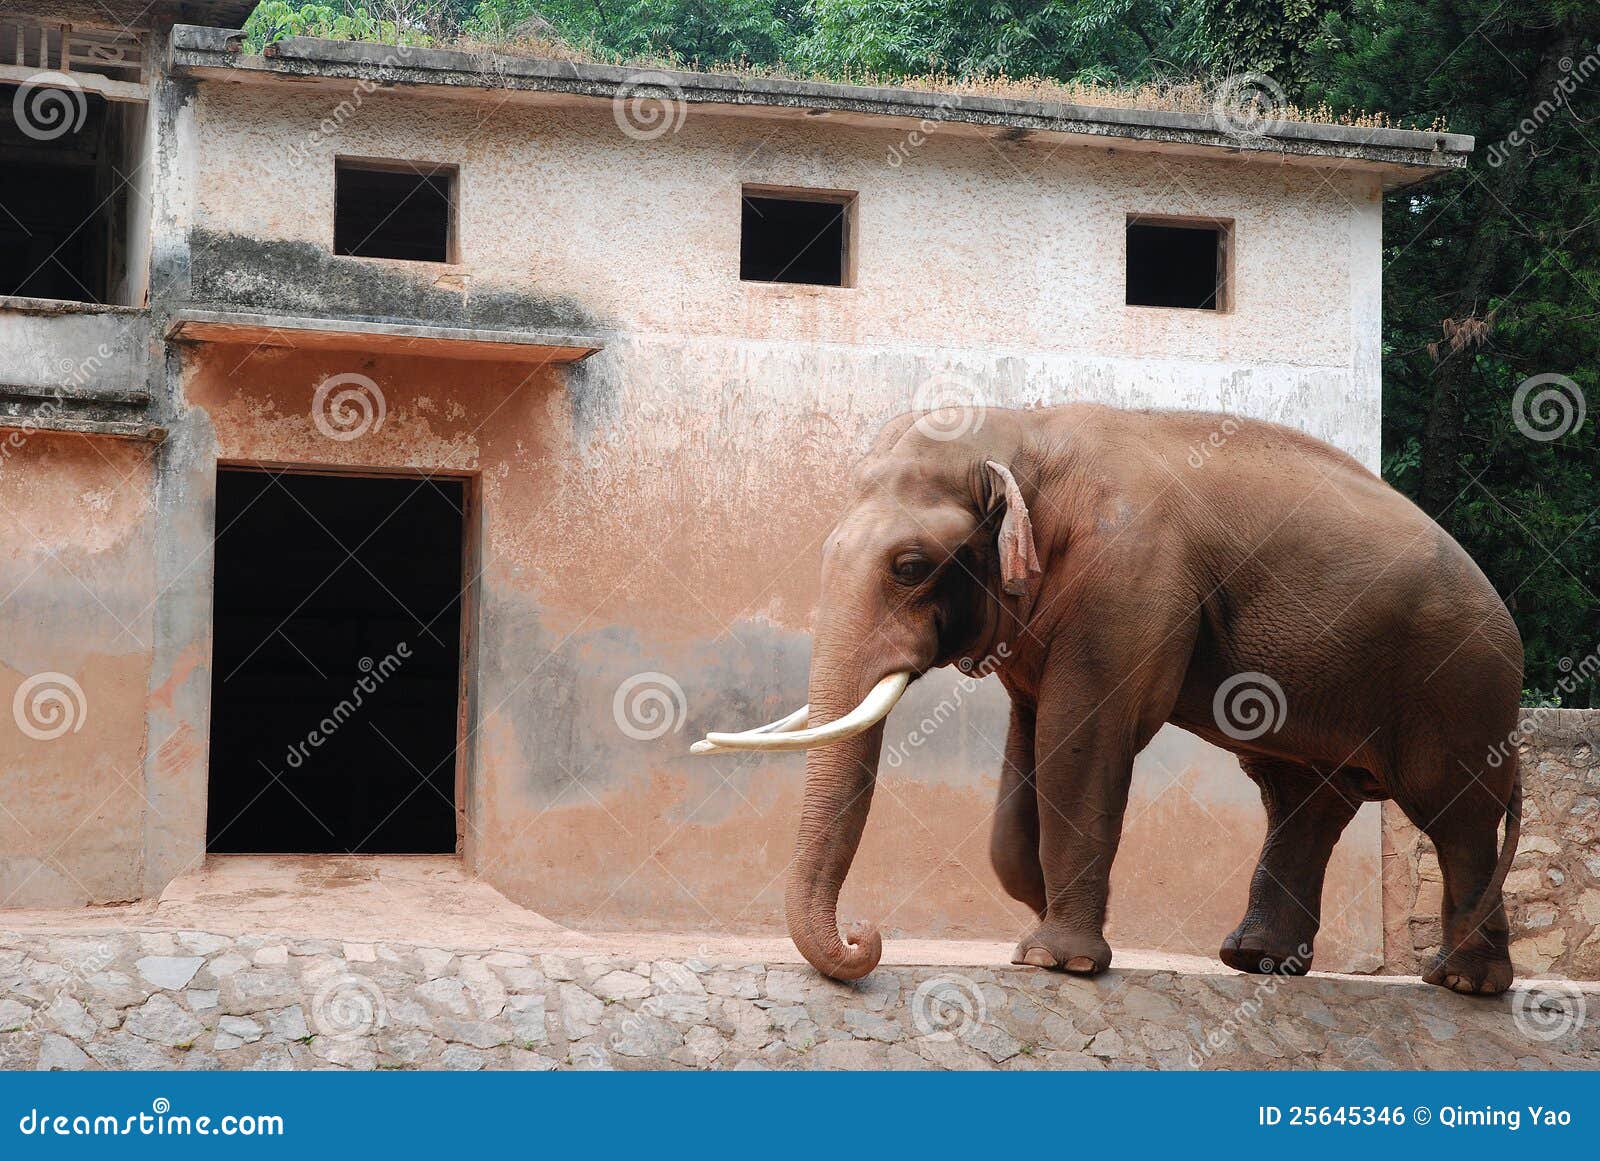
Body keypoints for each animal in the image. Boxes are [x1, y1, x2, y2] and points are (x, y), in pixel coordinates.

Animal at [693, 404, 1522, 996]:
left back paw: (1461, 981)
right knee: (1303, 797)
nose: (864, 935)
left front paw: (1056, 960)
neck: (1026, 431)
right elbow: (1027, 756)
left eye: (908, 567)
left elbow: (1083, 735)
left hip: (1458, 686)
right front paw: (1039, 912)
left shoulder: (1128, 583)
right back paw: (1257, 960)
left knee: (1453, 814)